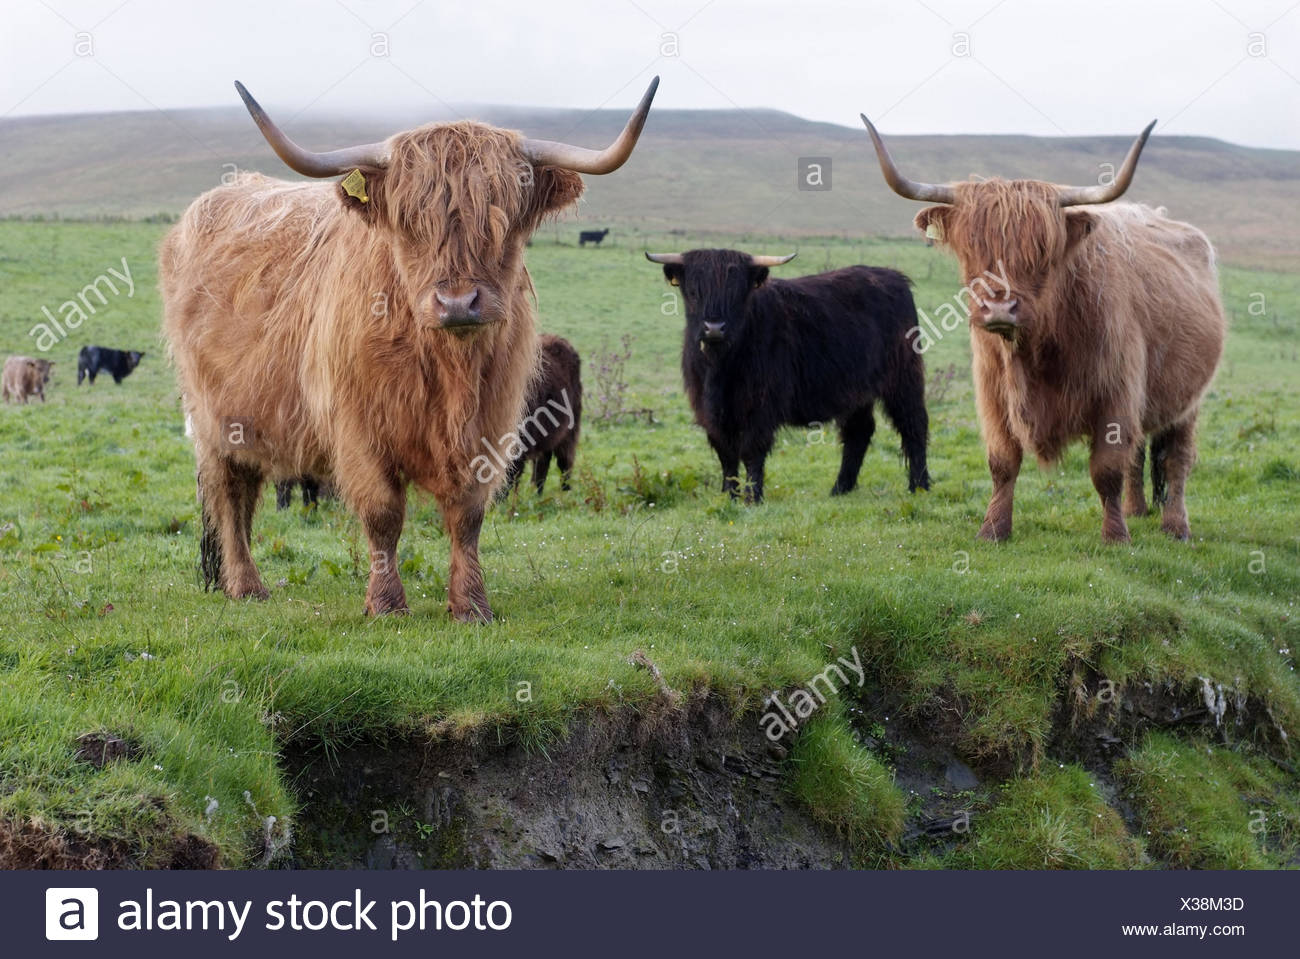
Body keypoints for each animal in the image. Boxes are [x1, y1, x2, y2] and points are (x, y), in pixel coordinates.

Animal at [645, 249, 930, 502]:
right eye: (693, 291)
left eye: (738, 293)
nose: (714, 328)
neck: (719, 367)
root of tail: (894, 278)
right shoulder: (707, 410)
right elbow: (726, 455)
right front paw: (729, 497)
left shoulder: (760, 406)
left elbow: (751, 451)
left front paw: (753, 498)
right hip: (856, 390)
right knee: (858, 432)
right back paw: (840, 489)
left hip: (903, 378)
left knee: (913, 425)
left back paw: (919, 486)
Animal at [861, 116, 1226, 543]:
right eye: (973, 248)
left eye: (1041, 252)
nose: (999, 307)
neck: (1036, 349)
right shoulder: (993, 394)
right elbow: (1002, 463)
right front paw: (993, 529)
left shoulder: (1117, 394)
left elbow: (1107, 469)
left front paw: (1115, 536)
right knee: (1139, 456)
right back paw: (1137, 511)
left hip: (1189, 400)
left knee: (1176, 459)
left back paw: (1175, 526)